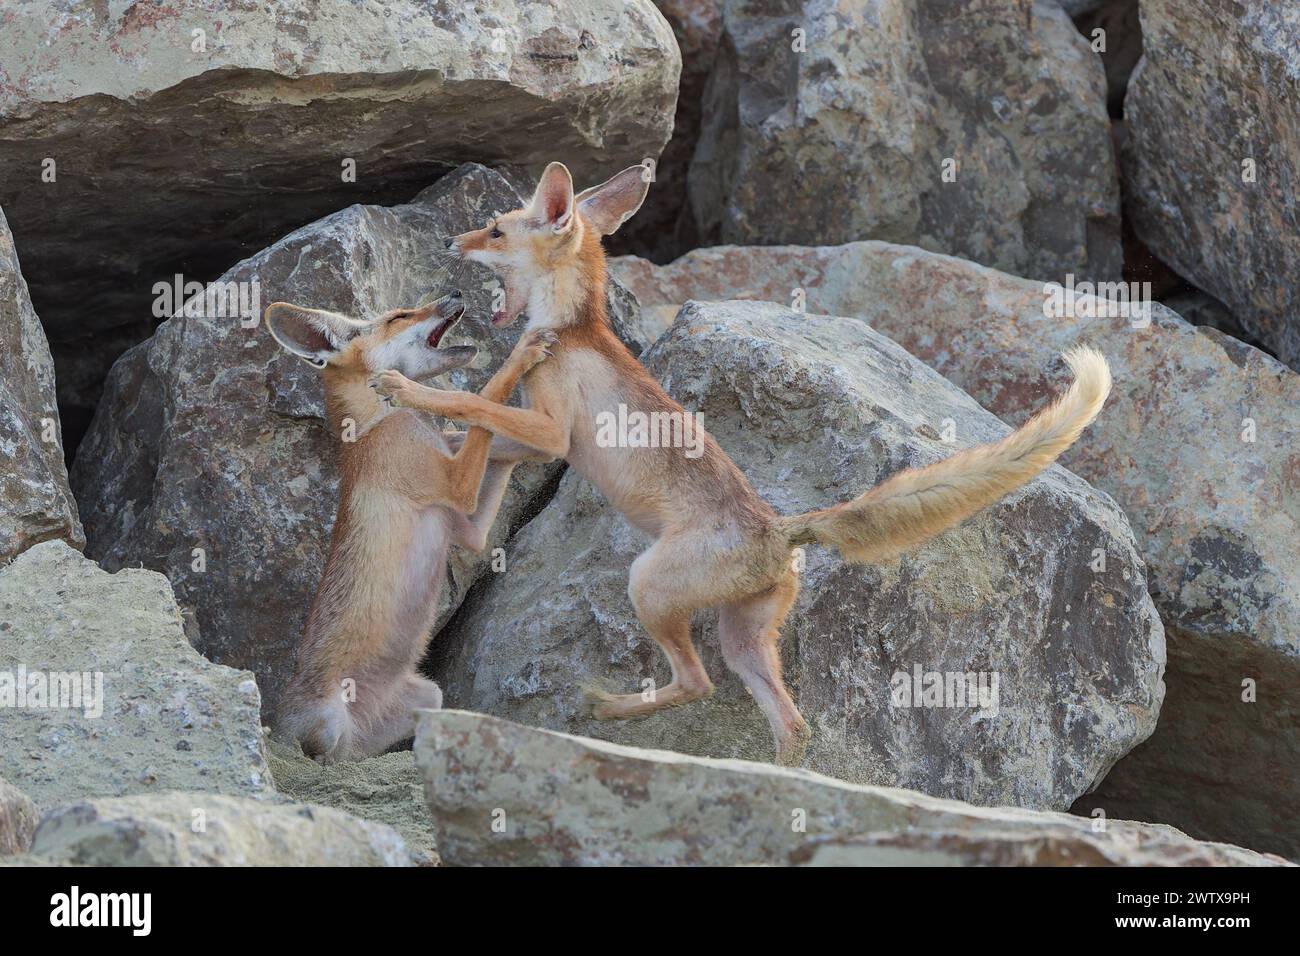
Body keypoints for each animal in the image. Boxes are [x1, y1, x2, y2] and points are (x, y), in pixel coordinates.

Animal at [266, 291, 555, 762]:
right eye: (400, 316)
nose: (455, 292)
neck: (375, 425)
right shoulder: (457, 486)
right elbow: (484, 398)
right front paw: (521, 355)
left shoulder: (468, 526)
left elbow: (495, 438)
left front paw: (548, 439)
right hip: (328, 725)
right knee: (323, 757)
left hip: (425, 698)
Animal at [371, 163, 1113, 766]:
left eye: (494, 231)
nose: (451, 243)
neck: (574, 331)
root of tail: (781, 532)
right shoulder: (534, 442)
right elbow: (476, 437)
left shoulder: (553, 435)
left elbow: (468, 402)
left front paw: (405, 391)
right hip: (745, 640)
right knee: (792, 723)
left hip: (650, 587)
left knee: (696, 683)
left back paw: (606, 708)